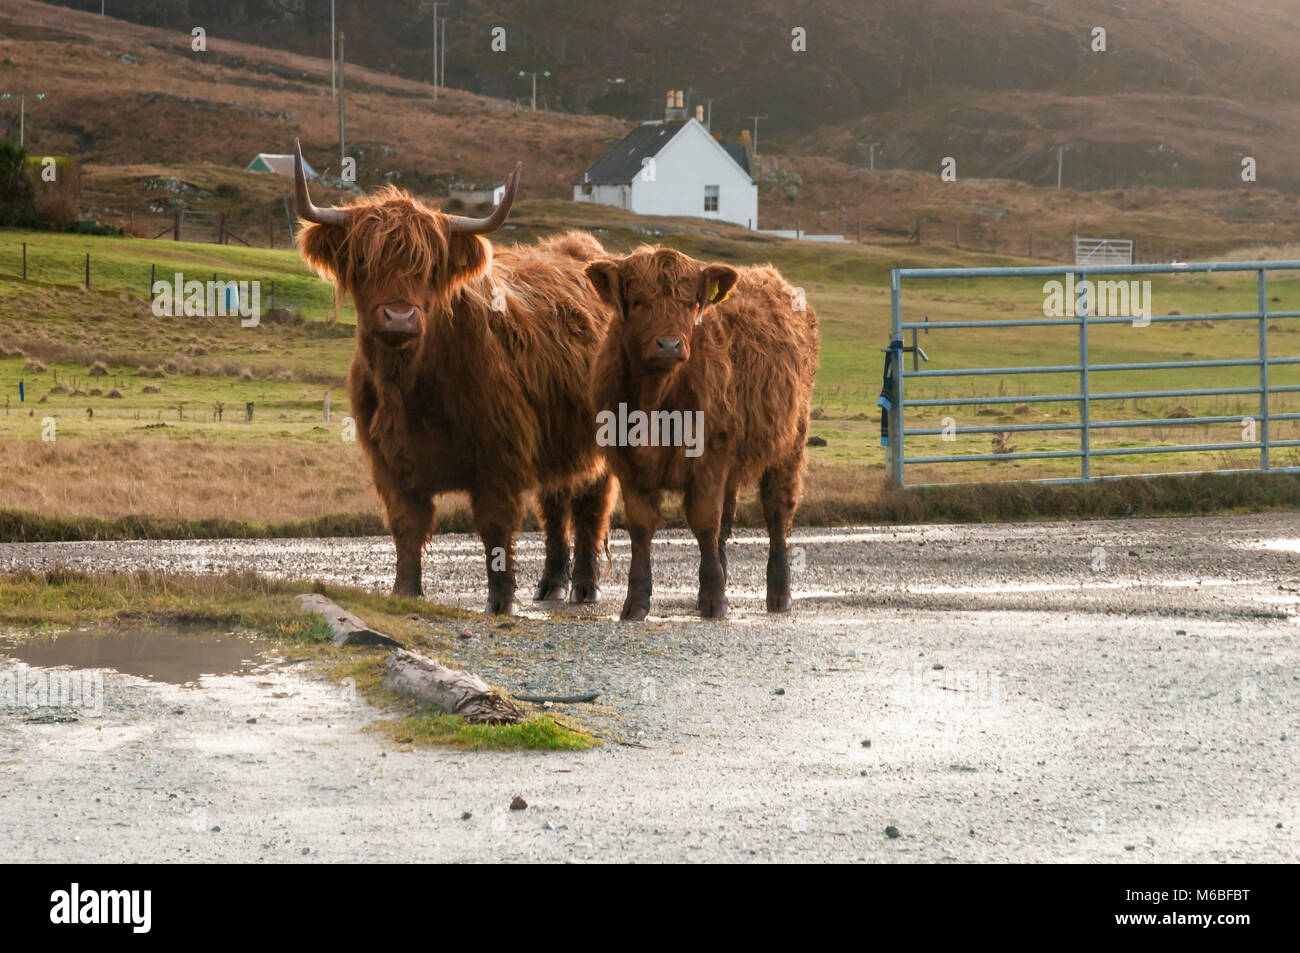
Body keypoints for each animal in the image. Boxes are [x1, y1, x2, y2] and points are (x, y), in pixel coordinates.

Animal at [291, 140, 614, 614]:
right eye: (364, 261)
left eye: (428, 268)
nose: (399, 316)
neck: (409, 386)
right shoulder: (390, 463)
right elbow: (407, 525)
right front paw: (405, 591)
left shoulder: (499, 456)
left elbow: (495, 528)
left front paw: (499, 603)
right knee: (555, 507)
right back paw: (551, 584)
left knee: (591, 507)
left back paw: (585, 588)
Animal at [585, 246, 819, 620]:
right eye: (638, 301)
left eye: (689, 304)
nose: (669, 344)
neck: (654, 399)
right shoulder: (630, 464)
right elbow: (641, 527)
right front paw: (636, 603)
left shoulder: (709, 458)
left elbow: (705, 522)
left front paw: (715, 599)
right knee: (729, 518)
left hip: (789, 447)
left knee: (777, 514)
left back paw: (779, 595)